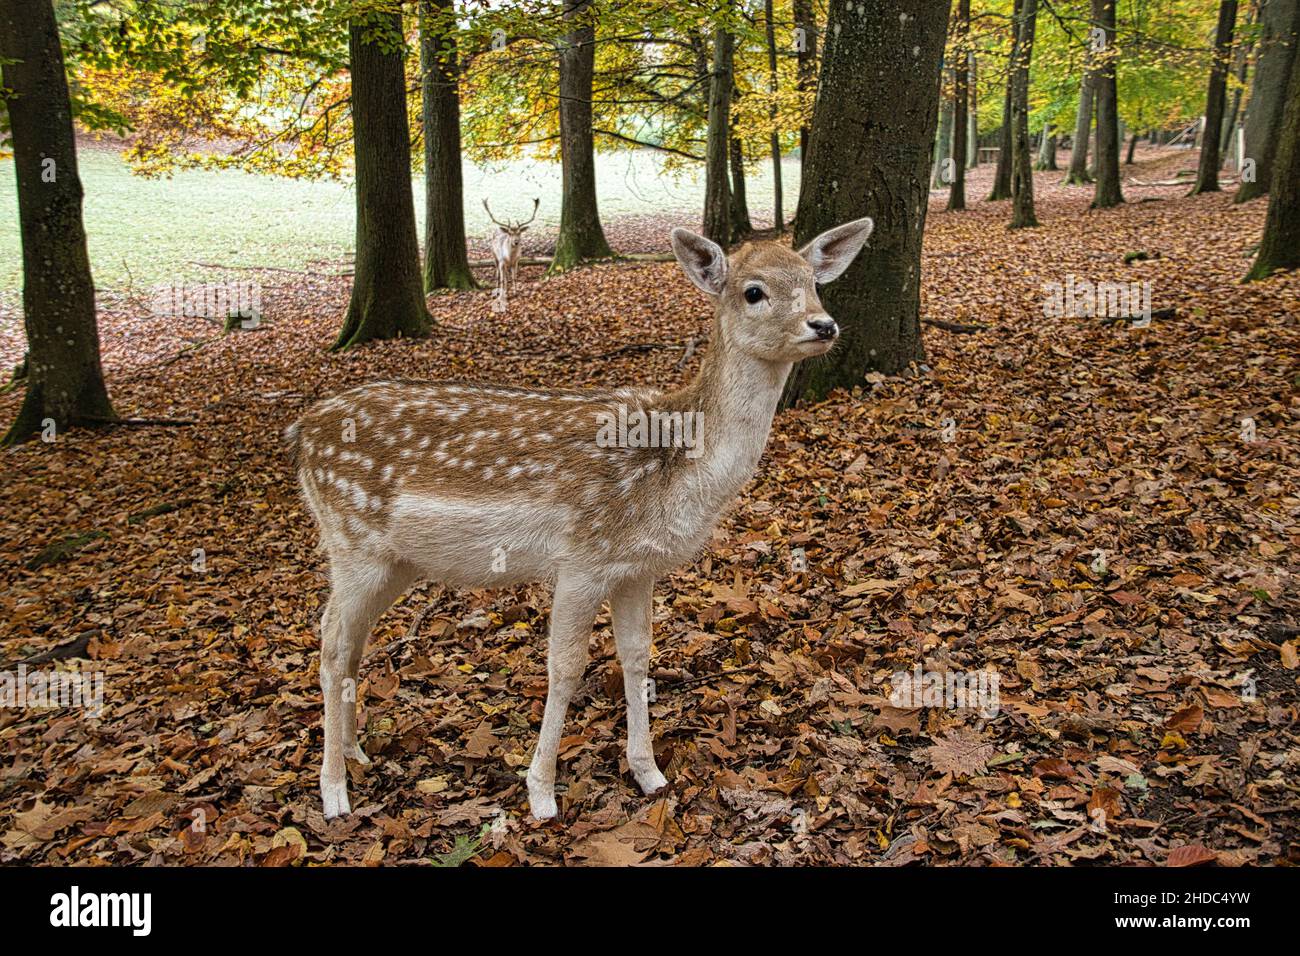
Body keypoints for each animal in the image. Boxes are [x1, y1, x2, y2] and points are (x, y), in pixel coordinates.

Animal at [286, 216, 874, 821]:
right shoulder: (582, 559)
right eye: (753, 291)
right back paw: (334, 793)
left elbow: (637, 659)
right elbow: (565, 667)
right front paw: (541, 793)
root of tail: (301, 434)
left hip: (393, 562)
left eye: (813, 281)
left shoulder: (637, 568)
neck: (674, 465)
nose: (824, 324)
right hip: (351, 540)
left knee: (353, 643)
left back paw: (355, 753)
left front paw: (649, 774)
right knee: (330, 645)